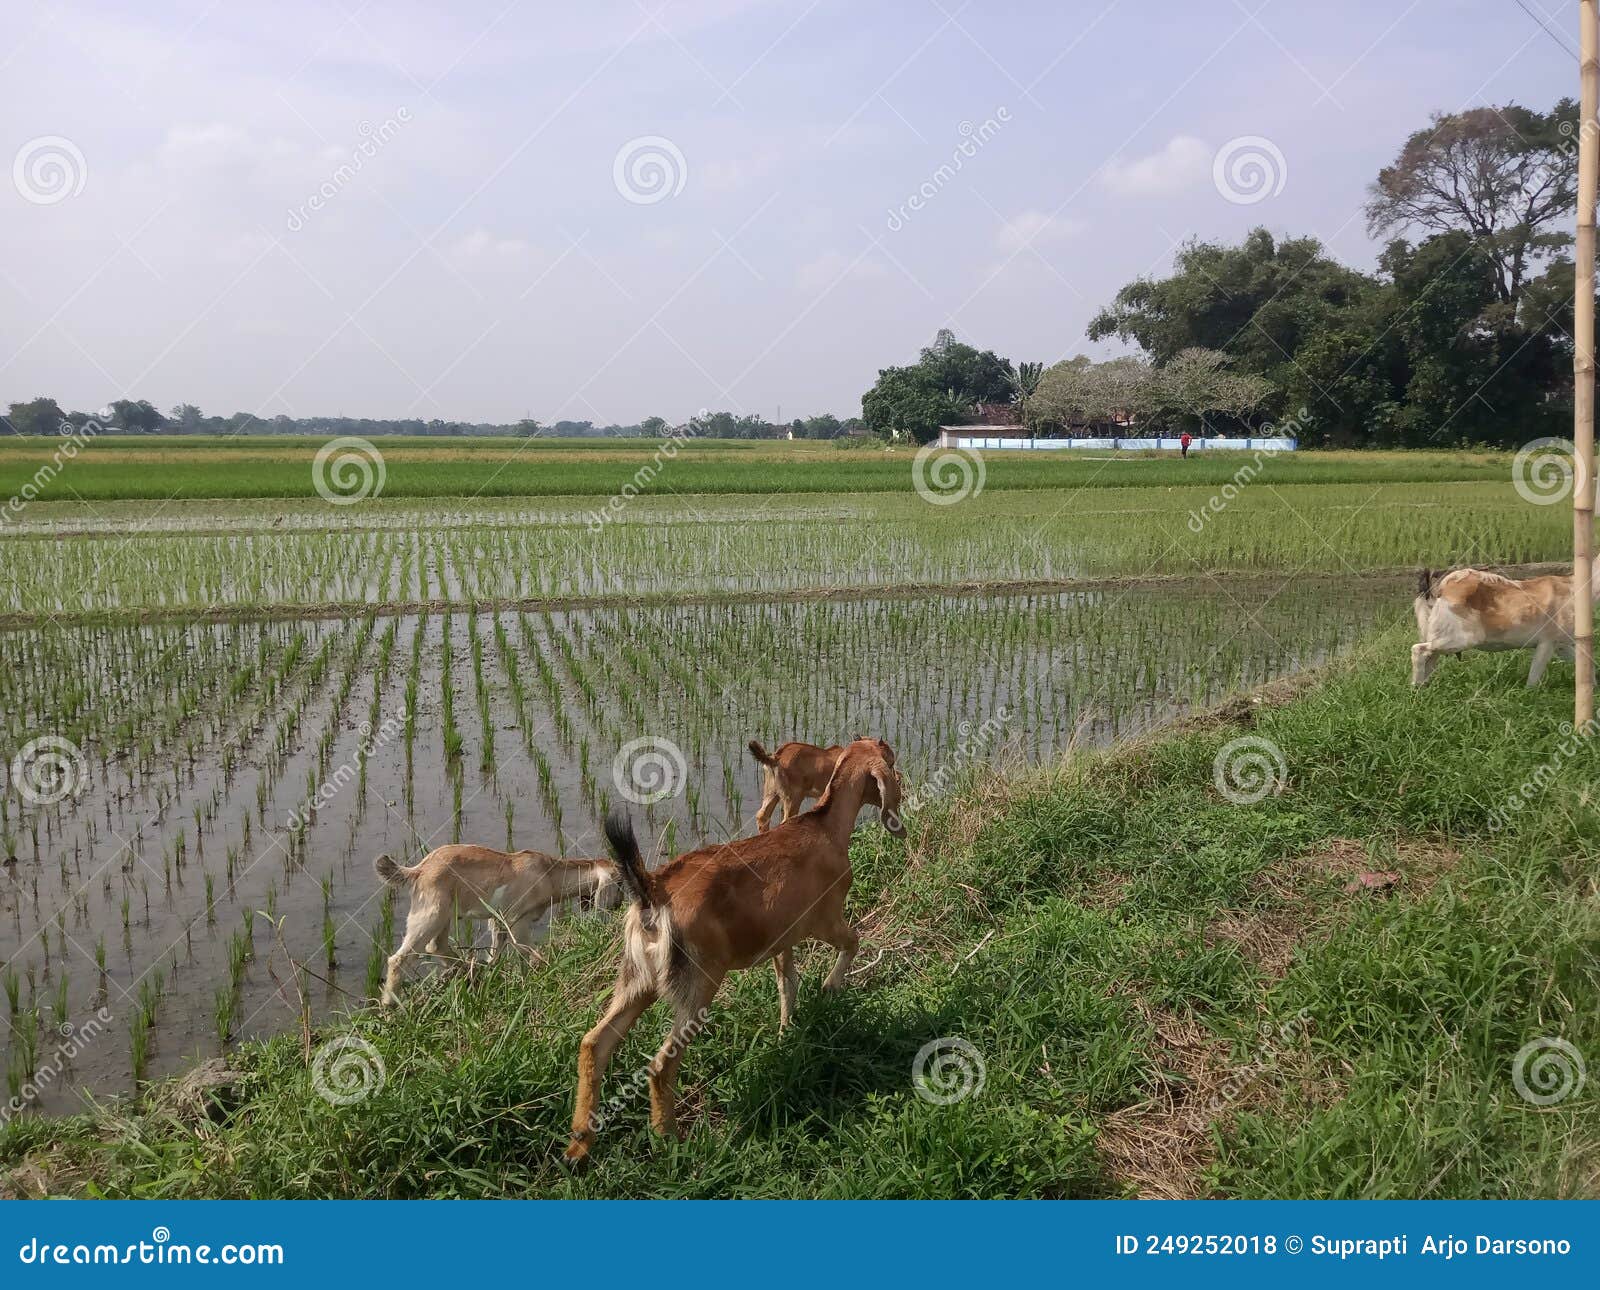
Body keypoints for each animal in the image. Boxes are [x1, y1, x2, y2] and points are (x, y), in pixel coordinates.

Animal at [374, 845, 619, 1006]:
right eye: (620, 882)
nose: (617, 906)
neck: (550, 874)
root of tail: (417, 870)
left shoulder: (498, 920)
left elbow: (497, 953)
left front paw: (494, 973)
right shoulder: (517, 920)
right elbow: (529, 953)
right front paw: (536, 978)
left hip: (444, 916)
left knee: (435, 946)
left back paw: (468, 971)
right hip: (430, 914)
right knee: (399, 959)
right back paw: (390, 1005)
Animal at [565, 737, 905, 1164]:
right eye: (889, 758)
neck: (825, 826)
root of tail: (653, 892)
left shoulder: (781, 937)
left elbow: (787, 982)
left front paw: (786, 1031)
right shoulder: (825, 920)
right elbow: (853, 941)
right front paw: (831, 987)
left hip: (636, 980)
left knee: (594, 1044)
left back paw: (579, 1143)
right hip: (698, 983)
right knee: (661, 1066)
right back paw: (669, 1137)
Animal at [1412, 566, 1589, 687]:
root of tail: (1444, 586)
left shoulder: (1561, 644)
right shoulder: (1547, 642)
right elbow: (1534, 675)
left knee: (1429, 657)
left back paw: (1424, 687)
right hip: (1460, 639)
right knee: (1418, 650)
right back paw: (1416, 687)